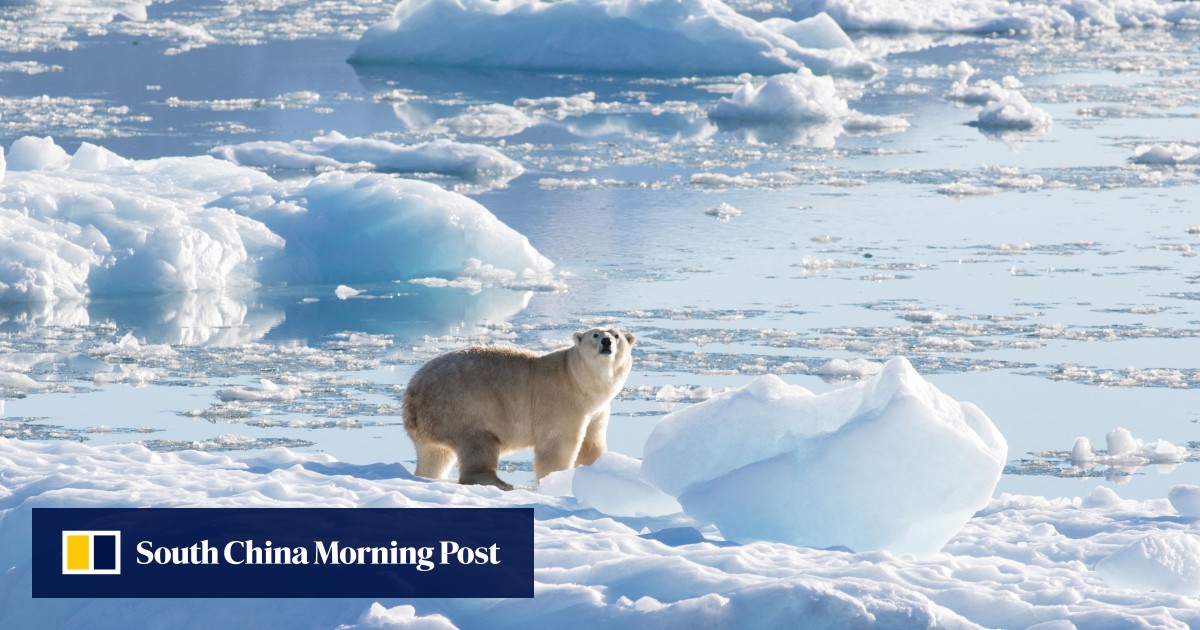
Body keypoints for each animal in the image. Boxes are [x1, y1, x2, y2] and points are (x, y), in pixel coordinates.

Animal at [402, 327, 636, 490]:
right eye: (595, 334)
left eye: (616, 335)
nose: (606, 341)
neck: (577, 379)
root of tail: (412, 392)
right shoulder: (561, 400)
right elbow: (557, 446)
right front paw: (556, 480)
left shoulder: (598, 410)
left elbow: (591, 445)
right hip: (462, 404)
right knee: (478, 442)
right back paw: (500, 483)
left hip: (433, 421)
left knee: (434, 455)